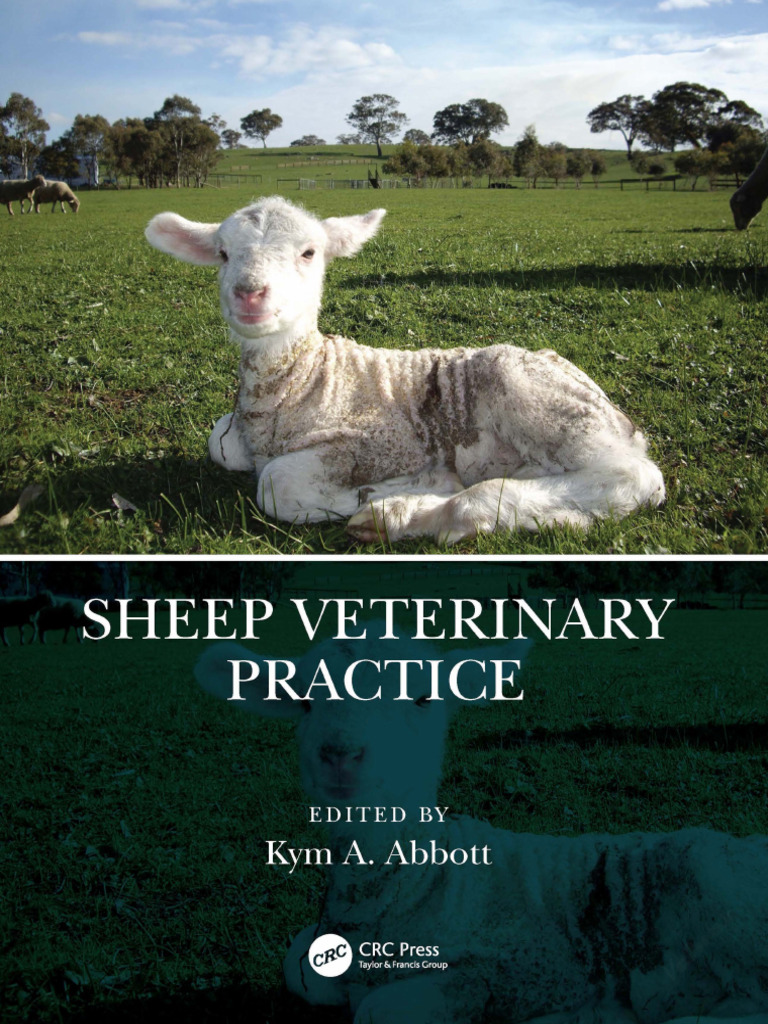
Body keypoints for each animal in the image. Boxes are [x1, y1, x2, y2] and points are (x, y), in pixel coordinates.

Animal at [144, 197, 665, 545]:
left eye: (309, 252)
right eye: (222, 254)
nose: (249, 293)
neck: (303, 382)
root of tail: (618, 417)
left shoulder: (373, 443)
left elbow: (276, 484)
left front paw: (375, 494)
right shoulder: (235, 435)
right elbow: (220, 443)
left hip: (537, 397)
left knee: (633, 479)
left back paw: (406, 512)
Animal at [195, 633, 768, 1024]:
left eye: (423, 698)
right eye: (303, 700)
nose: (340, 754)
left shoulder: (526, 966)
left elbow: (378, 1009)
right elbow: (301, 967)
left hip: (719, 890)